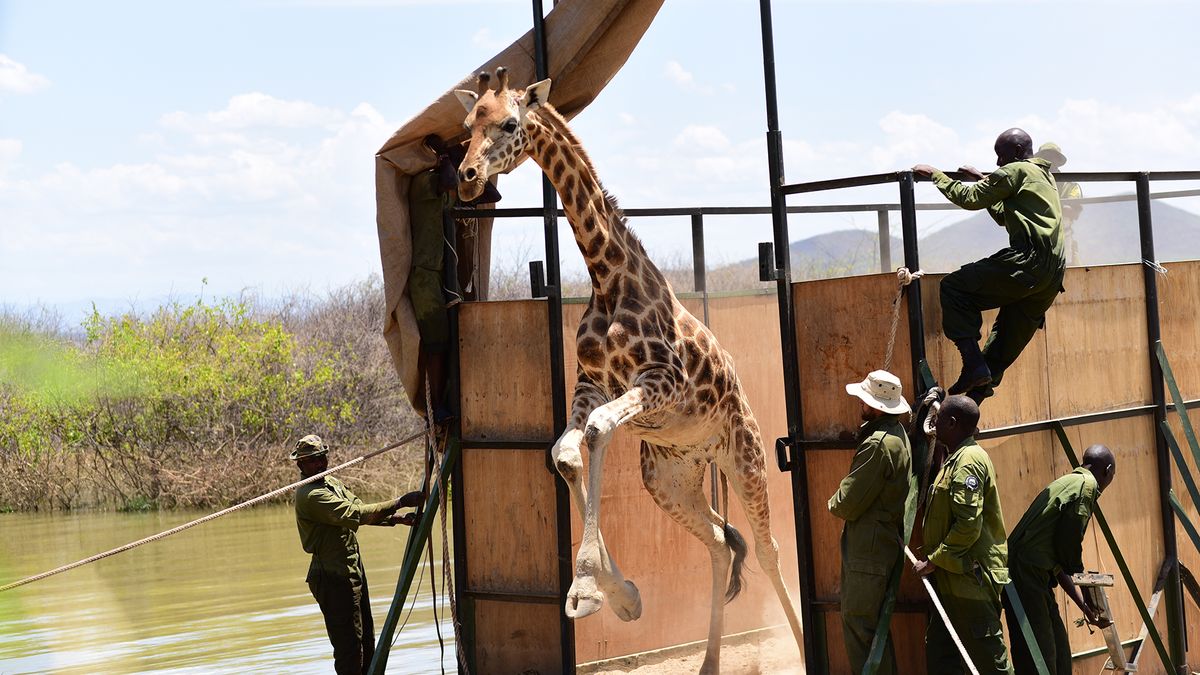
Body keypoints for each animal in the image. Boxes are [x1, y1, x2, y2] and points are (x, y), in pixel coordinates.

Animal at [454, 68, 802, 674]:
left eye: (510, 124)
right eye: (468, 124)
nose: (467, 177)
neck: (607, 275)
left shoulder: (661, 380)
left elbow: (594, 435)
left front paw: (591, 589)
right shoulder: (591, 384)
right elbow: (565, 452)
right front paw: (619, 595)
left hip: (746, 458)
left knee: (766, 547)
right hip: (669, 481)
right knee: (719, 542)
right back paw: (709, 662)